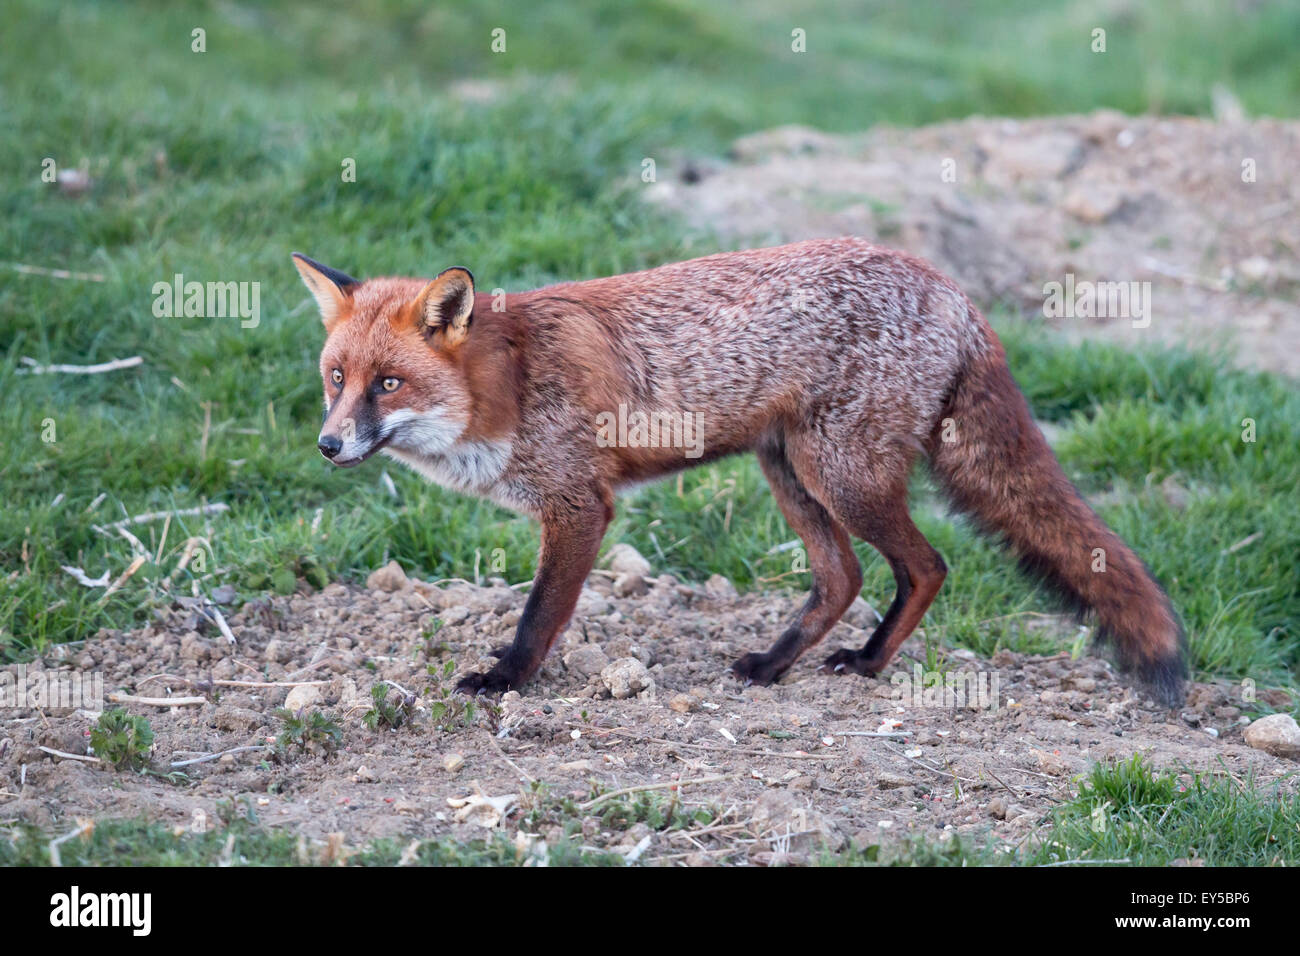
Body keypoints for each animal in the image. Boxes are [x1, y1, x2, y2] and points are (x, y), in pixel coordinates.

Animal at [293, 238, 1186, 705]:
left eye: (389, 384)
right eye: (336, 378)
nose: (329, 447)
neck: (507, 385)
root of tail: (951, 289)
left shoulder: (580, 506)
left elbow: (540, 614)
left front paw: (508, 679)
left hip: (844, 476)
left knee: (927, 565)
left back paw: (868, 663)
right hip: (791, 473)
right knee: (843, 578)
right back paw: (772, 665)